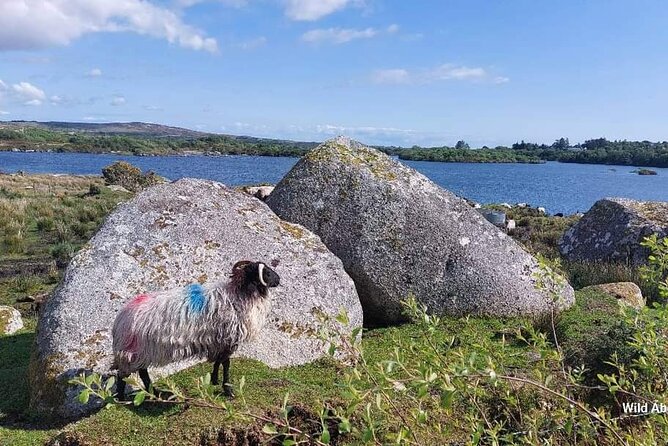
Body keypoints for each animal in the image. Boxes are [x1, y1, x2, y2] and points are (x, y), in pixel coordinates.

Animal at [112, 260, 280, 400]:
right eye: (265, 272)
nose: (278, 279)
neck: (239, 295)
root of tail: (120, 319)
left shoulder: (218, 341)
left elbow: (218, 362)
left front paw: (214, 380)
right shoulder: (228, 339)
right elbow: (226, 364)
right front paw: (228, 390)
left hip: (141, 352)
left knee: (142, 372)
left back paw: (154, 392)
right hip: (132, 352)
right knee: (123, 375)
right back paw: (121, 398)